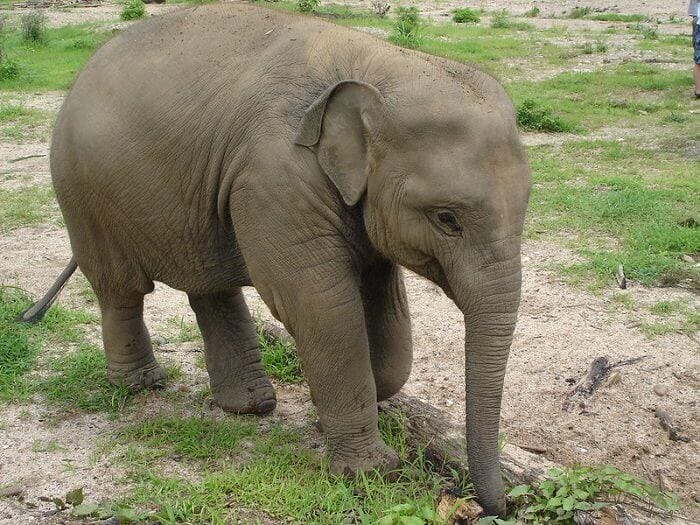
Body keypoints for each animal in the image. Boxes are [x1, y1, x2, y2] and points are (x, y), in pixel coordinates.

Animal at [20, 3, 530, 516]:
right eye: (447, 219)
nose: (499, 506)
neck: (380, 64)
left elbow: (387, 314)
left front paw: (334, 419)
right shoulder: (274, 183)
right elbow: (321, 308)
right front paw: (373, 473)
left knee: (209, 287)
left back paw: (249, 406)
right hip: (82, 192)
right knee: (121, 289)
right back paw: (141, 386)